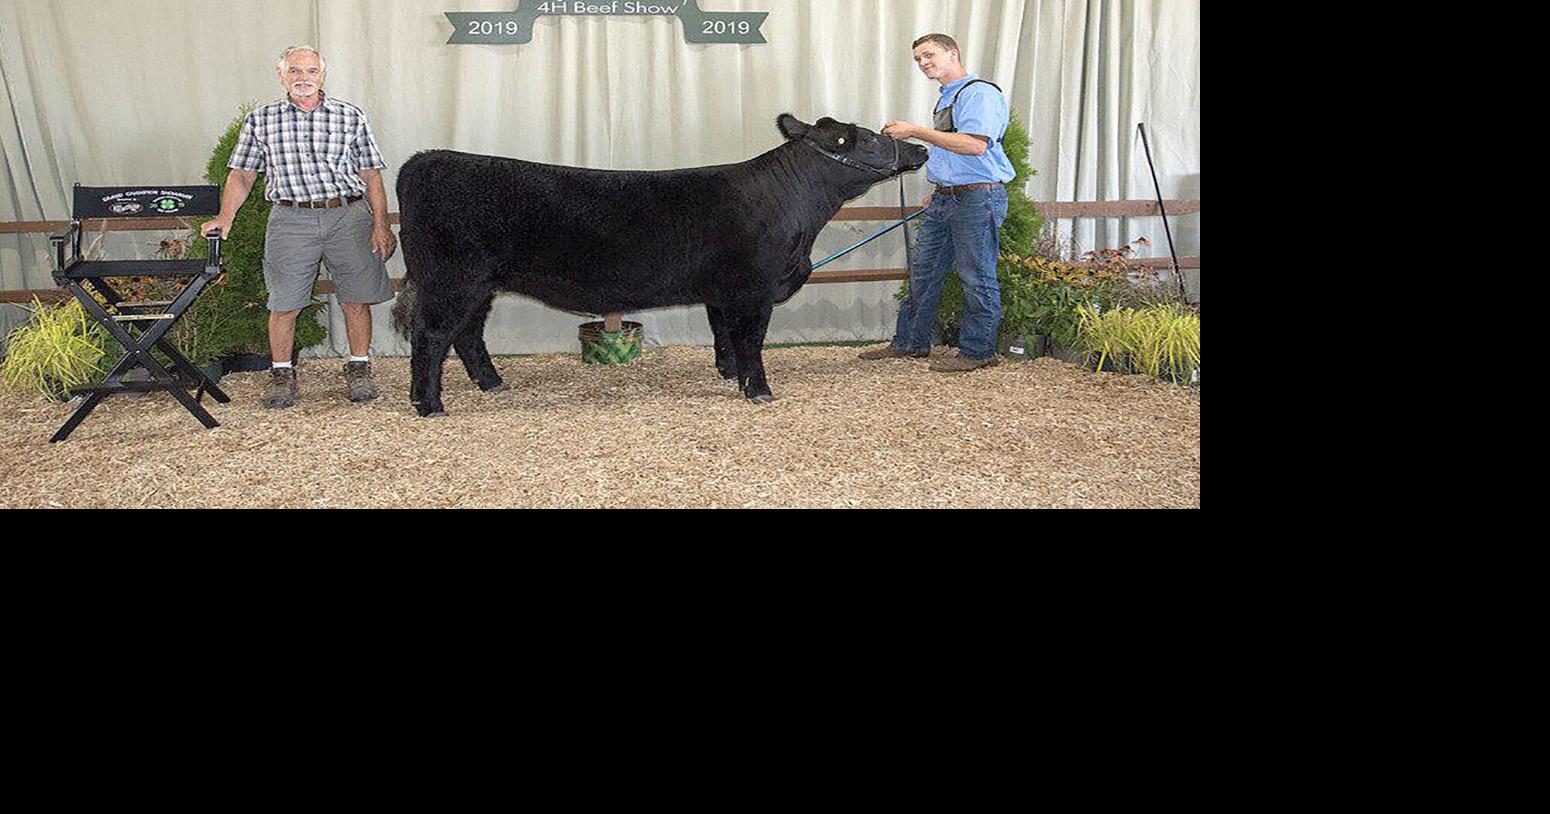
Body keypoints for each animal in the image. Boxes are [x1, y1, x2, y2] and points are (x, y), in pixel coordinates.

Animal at [392, 114, 928, 416]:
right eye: (870, 139)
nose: (921, 146)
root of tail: (424, 160)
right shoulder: (752, 287)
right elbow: (751, 340)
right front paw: (758, 390)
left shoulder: (720, 290)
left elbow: (724, 335)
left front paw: (729, 374)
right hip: (453, 279)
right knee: (432, 336)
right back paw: (428, 404)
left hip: (480, 284)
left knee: (467, 334)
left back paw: (492, 384)